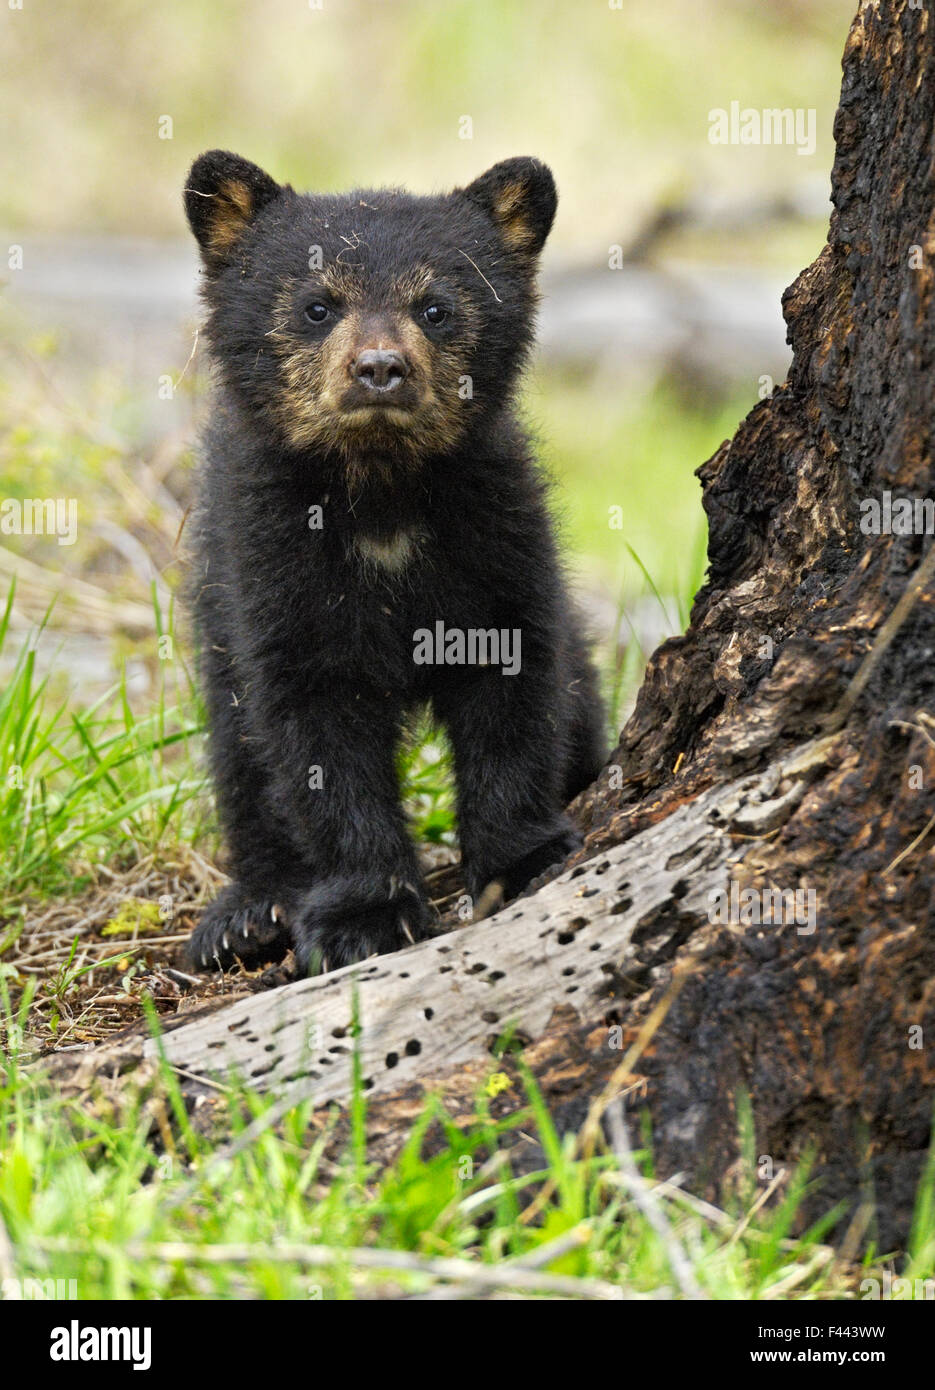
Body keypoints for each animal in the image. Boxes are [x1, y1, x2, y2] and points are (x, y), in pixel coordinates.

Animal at [182, 149, 606, 976]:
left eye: (434, 307)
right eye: (317, 305)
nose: (379, 369)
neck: (380, 498)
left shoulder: (498, 534)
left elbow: (514, 694)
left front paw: (524, 857)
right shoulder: (269, 562)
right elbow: (311, 738)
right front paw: (365, 915)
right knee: (236, 750)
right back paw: (247, 914)